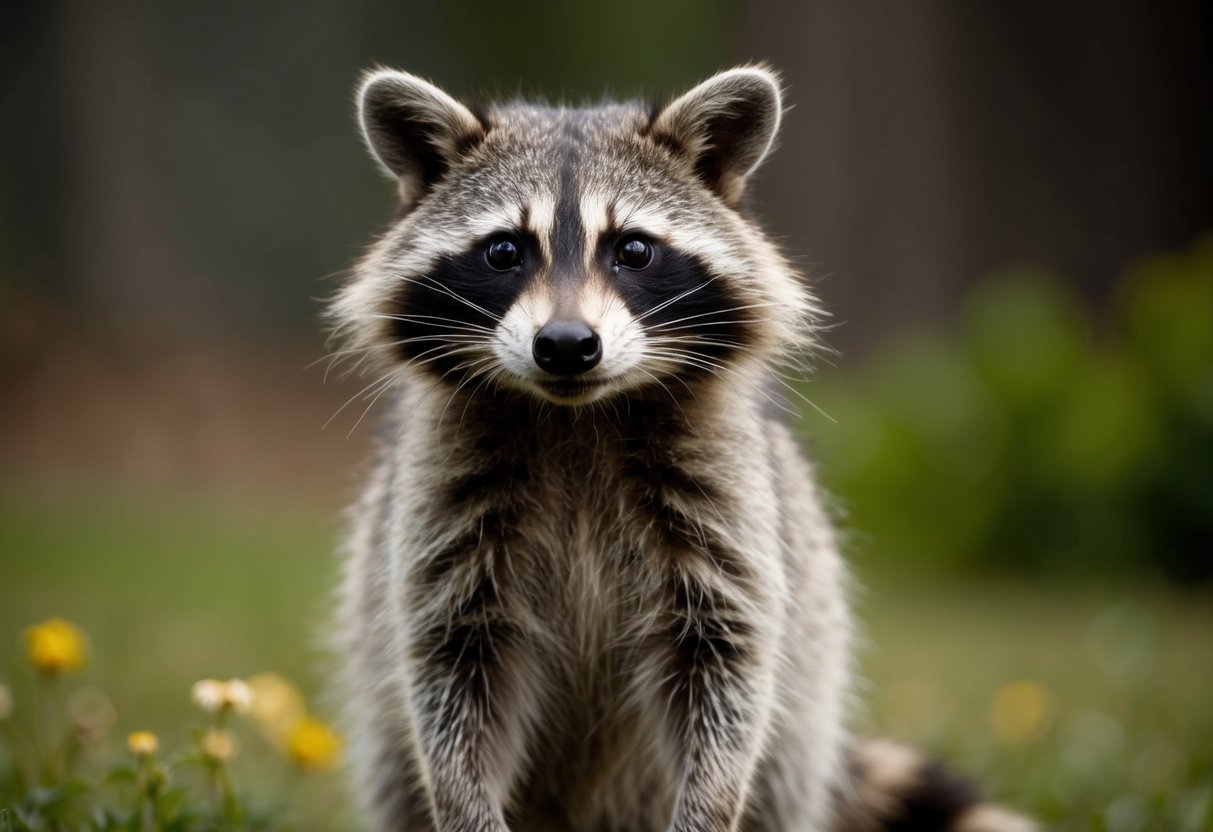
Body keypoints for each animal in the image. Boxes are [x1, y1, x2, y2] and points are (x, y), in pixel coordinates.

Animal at [331, 66, 1035, 832]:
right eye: (504, 251)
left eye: (633, 249)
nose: (566, 345)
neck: (576, 418)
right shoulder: (442, 506)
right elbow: (449, 683)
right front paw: (468, 811)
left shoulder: (726, 500)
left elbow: (727, 671)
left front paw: (709, 804)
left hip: (799, 729)